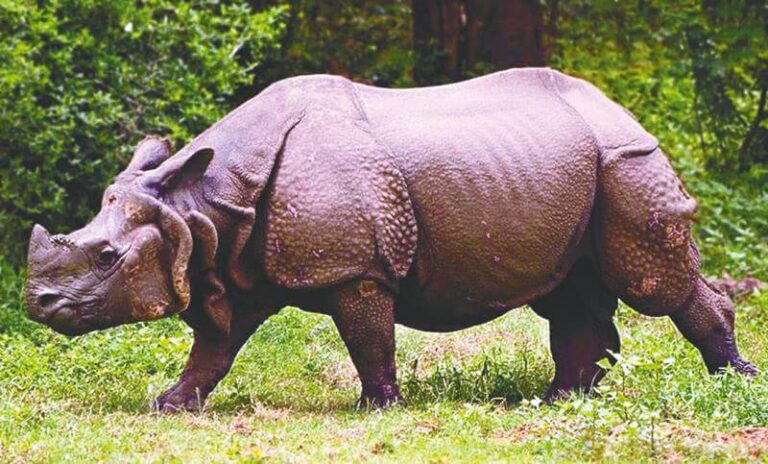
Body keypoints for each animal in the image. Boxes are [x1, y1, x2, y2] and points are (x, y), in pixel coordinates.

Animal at [25, 68, 756, 411]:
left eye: (106, 257)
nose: (36, 303)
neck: (202, 204)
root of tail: (617, 108)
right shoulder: (236, 265)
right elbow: (213, 349)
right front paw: (169, 406)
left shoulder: (356, 268)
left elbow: (368, 338)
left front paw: (377, 409)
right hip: (575, 169)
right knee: (570, 294)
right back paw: (562, 401)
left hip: (627, 160)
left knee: (653, 284)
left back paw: (735, 384)